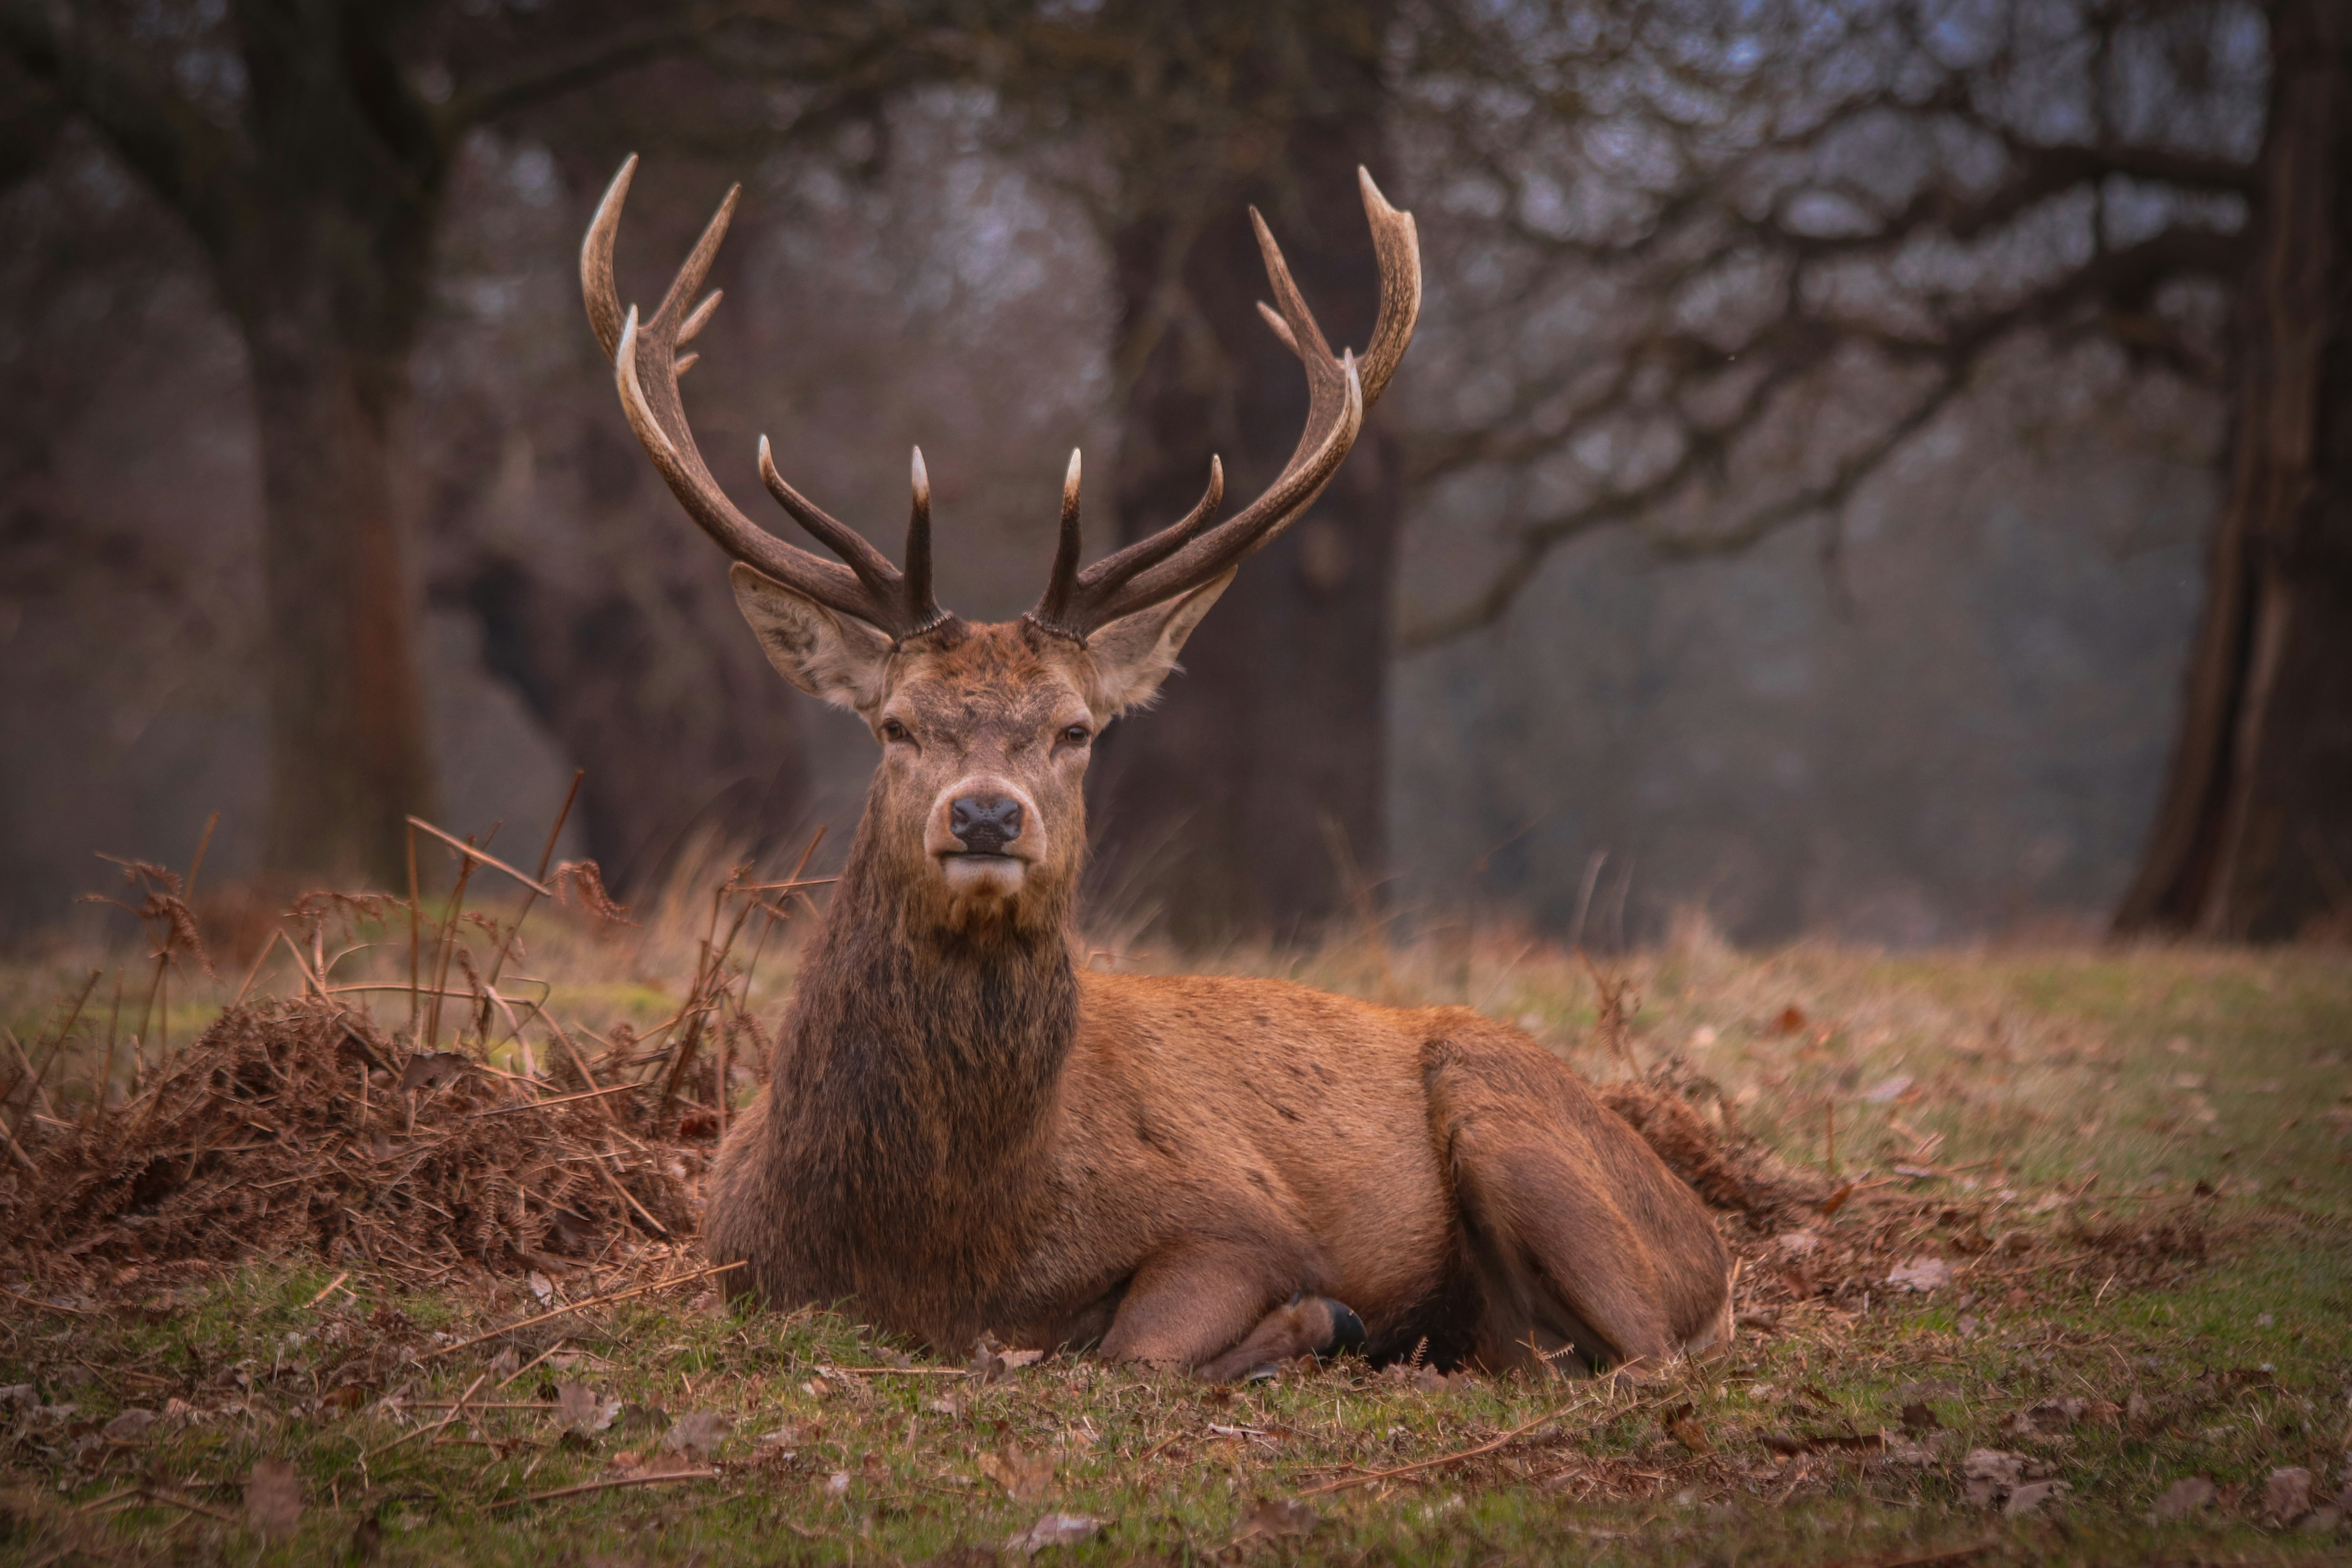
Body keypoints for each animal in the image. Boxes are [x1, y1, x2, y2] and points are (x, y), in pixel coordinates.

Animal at [580, 156, 1734, 1379]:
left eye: (1075, 728)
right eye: (895, 724)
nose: (984, 816)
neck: (944, 1248)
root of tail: (1709, 1242)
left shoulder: (1235, 1216)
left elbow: (1137, 1343)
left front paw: (1309, 1321)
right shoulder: (734, 1258)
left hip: (1516, 1127)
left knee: (1646, 1350)